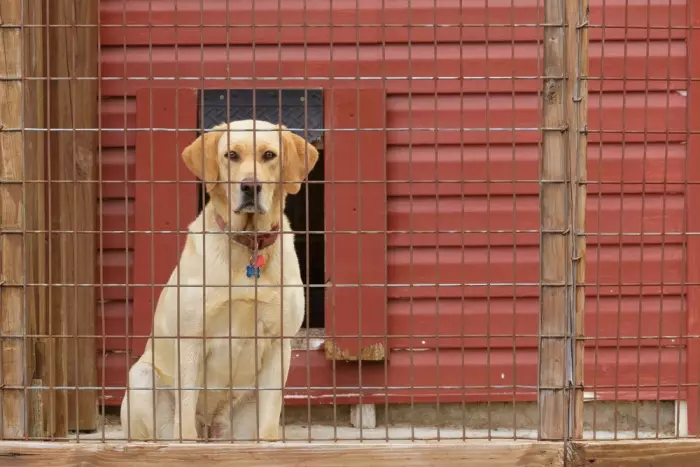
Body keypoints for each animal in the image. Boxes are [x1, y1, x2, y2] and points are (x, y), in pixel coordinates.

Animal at [120, 119, 318, 442]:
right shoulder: (190, 341)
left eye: (269, 155)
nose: (250, 186)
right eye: (231, 155)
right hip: (142, 378)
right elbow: (185, 418)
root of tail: (210, 428)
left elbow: (269, 423)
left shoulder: (279, 345)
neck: (248, 245)